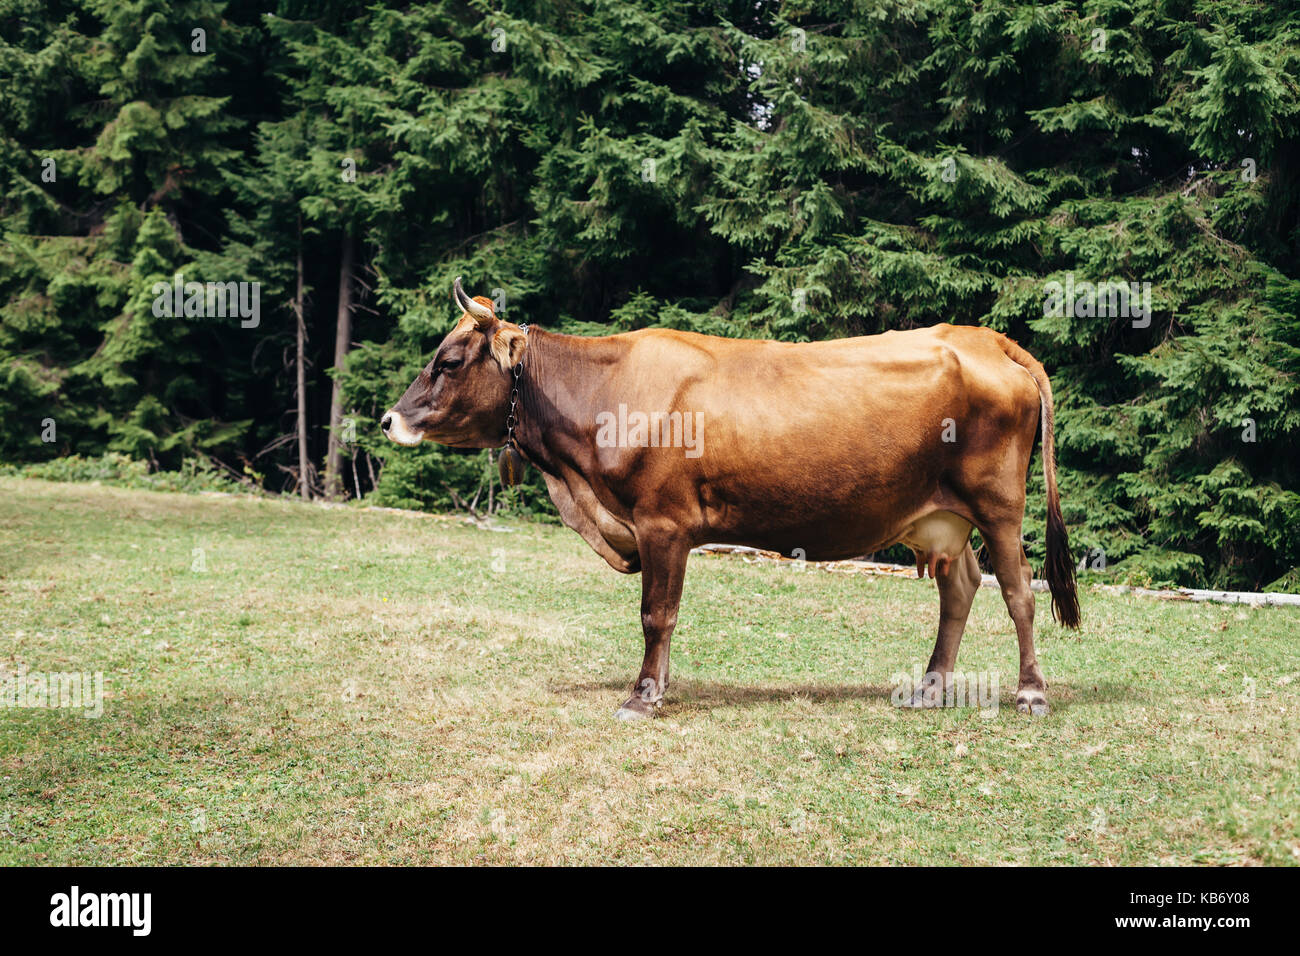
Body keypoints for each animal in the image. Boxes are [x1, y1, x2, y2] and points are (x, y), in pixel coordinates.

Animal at [382, 279, 1080, 720]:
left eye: (449, 360)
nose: (390, 420)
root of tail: (986, 339)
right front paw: (658, 687)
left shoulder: (662, 522)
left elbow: (656, 614)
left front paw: (641, 697)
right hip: (941, 517)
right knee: (959, 589)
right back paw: (931, 688)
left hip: (999, 505)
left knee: (1018, 590)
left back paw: (1031, 694)